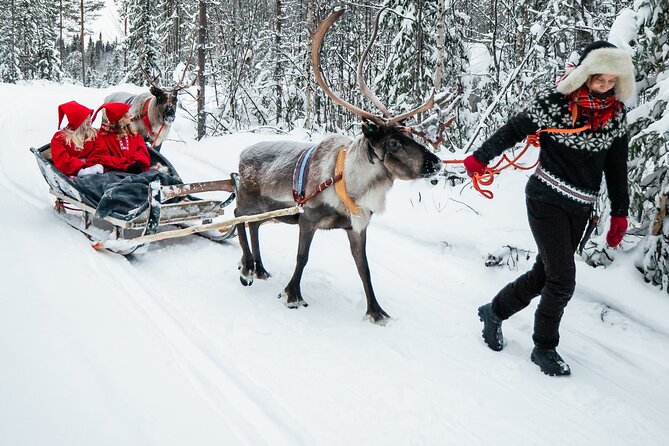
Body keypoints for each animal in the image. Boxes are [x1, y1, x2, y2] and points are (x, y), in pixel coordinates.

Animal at [233, 7, 443, 324]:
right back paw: (246, 268)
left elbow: (364, 268)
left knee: (253, 225)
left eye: (410, 136)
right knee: (237, 217)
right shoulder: (307, 219)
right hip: (247, 200)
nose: (436, 162)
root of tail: (243, 153)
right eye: (394, 142)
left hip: (265, 209)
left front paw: (376, 311)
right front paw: (292, 295)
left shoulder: (357, 227)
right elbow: (302, 257)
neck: (350, 184)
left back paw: (259, 268)